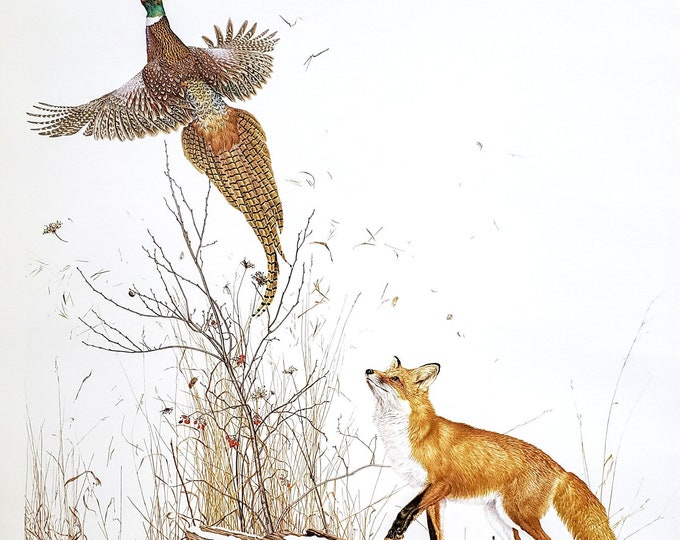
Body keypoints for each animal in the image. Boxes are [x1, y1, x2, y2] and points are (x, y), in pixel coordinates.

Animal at [365, 357, 617, 540]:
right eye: (383, 371)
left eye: (394, 378)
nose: (368, 370)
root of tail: (560, 469)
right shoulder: (432, 496)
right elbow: (433, 532)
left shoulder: (441, 484)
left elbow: (404, 511)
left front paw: (394, 532)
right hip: (500, 519)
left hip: (518, 515)